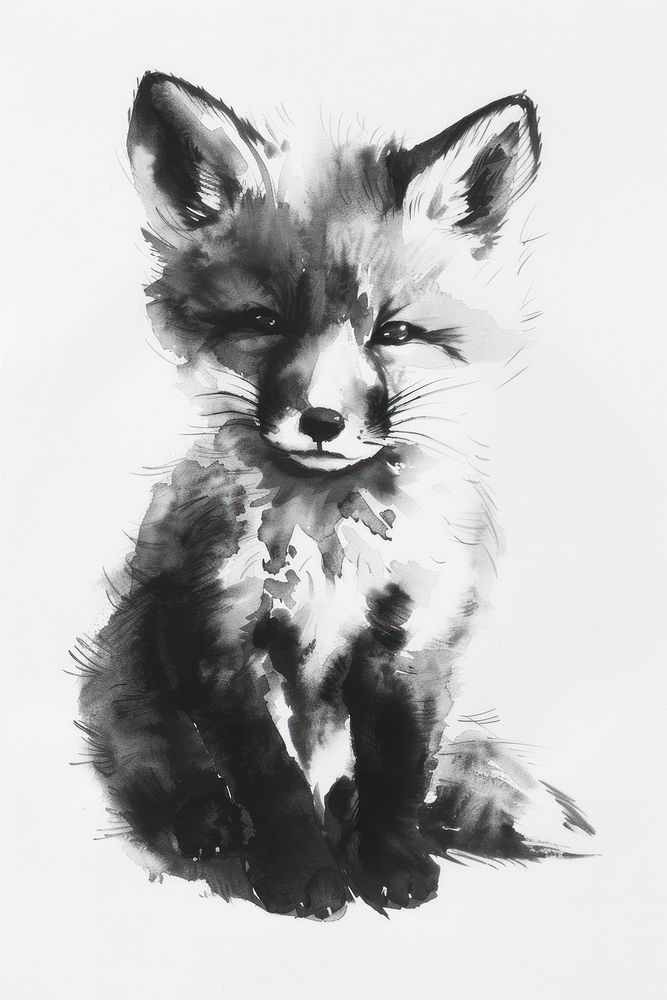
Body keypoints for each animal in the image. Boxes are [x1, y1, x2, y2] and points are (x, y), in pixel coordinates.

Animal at [77, 71, 593, 918]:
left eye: (394, 333)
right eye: (262, 321)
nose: (320, 422)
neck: (328, 539)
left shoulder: (412, 641)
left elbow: (399, 770)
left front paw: (392, 862)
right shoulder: (222, 640)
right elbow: (271, 779)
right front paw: (301, 874)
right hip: (128, 662)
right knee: (167, 769)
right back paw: (206, 820)